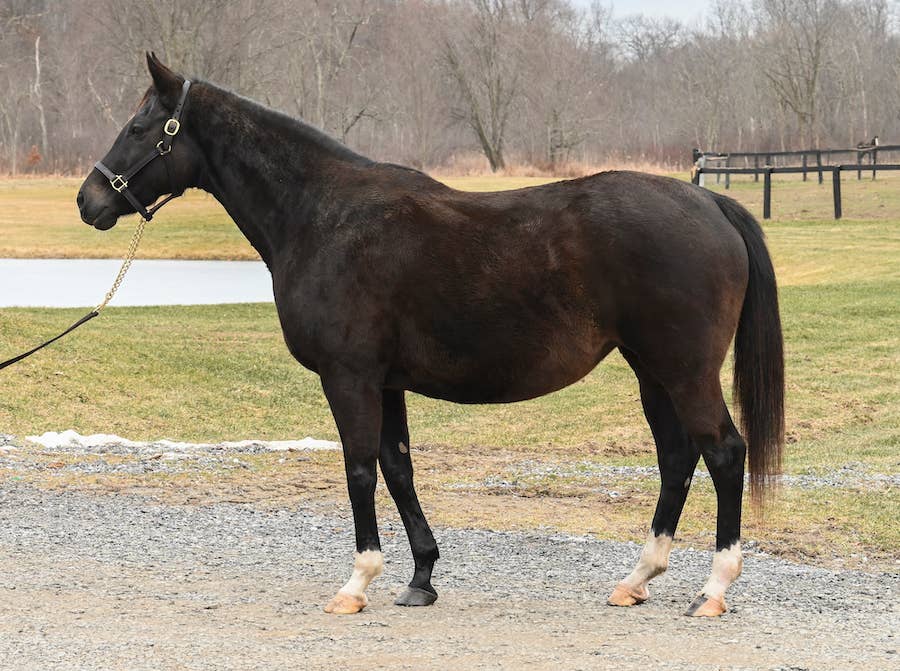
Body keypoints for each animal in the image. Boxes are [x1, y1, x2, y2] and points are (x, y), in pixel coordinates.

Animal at [77, 53, 784, 618]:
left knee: (723, 453)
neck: (321, 215)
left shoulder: (350, 377)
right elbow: (398, 467)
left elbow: (360, 468)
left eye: (140, 128)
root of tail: (709, 202)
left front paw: (357, 583)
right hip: (651, 369)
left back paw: (714, 589)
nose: (90, 201)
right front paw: (420, 577)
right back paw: (636, 579)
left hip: (684, 370)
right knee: (677, 458)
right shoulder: (385, 382)